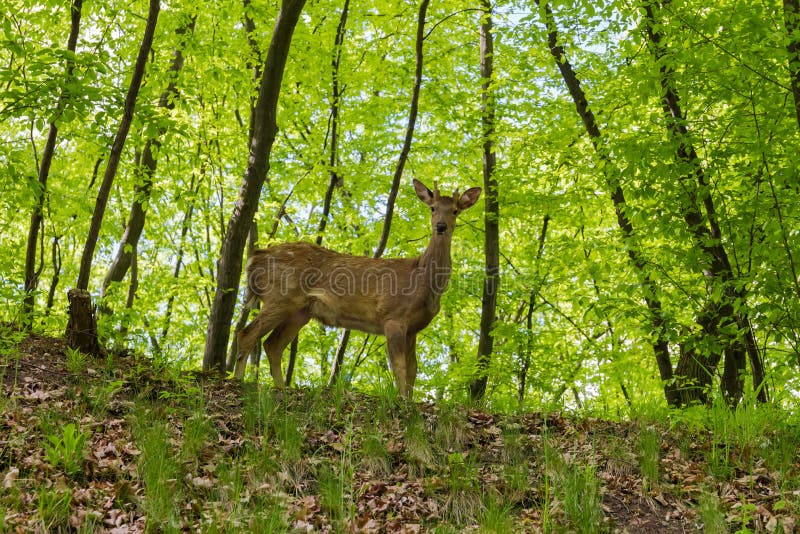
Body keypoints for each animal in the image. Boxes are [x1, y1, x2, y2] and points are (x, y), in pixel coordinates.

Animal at [234, 179, 481, 398]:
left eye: (455, 210)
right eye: (432, 208)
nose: (441, 226)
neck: (423, 281)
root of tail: (254, 259)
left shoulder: (413, 328)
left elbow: (413, 370)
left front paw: (410, 401)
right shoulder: (393, 316)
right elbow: (399, 367)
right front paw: (402, 401)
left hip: (300, 311)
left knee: (272, 345)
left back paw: (282, 389)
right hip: (279, 296)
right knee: (246, 334)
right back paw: (237, 381)